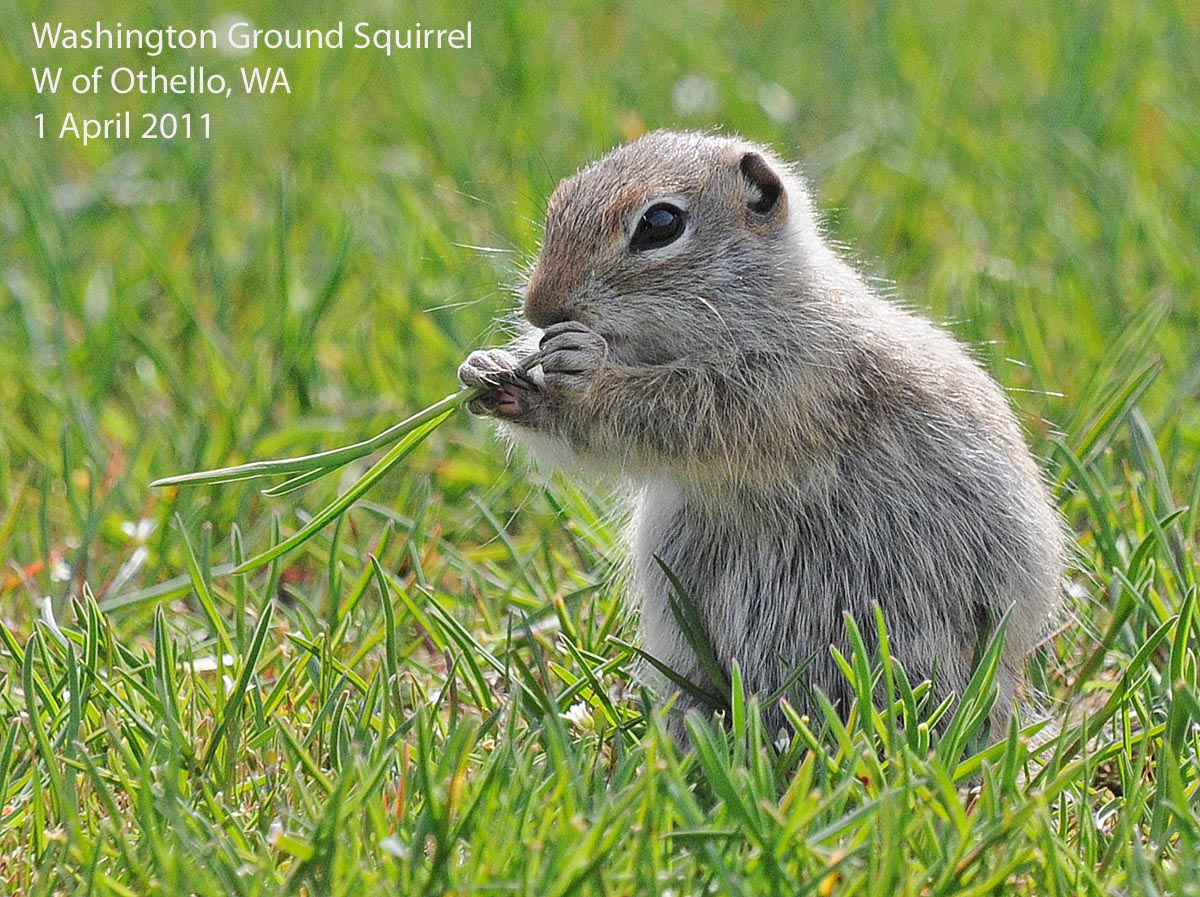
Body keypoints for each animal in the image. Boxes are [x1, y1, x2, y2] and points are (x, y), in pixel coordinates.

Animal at [459, 130, 1066, 738]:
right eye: (559, 201)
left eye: (660, 223)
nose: (540, 308)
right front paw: (492, 374)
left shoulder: (786, 383)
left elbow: (670, 412)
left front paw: (582, 366)